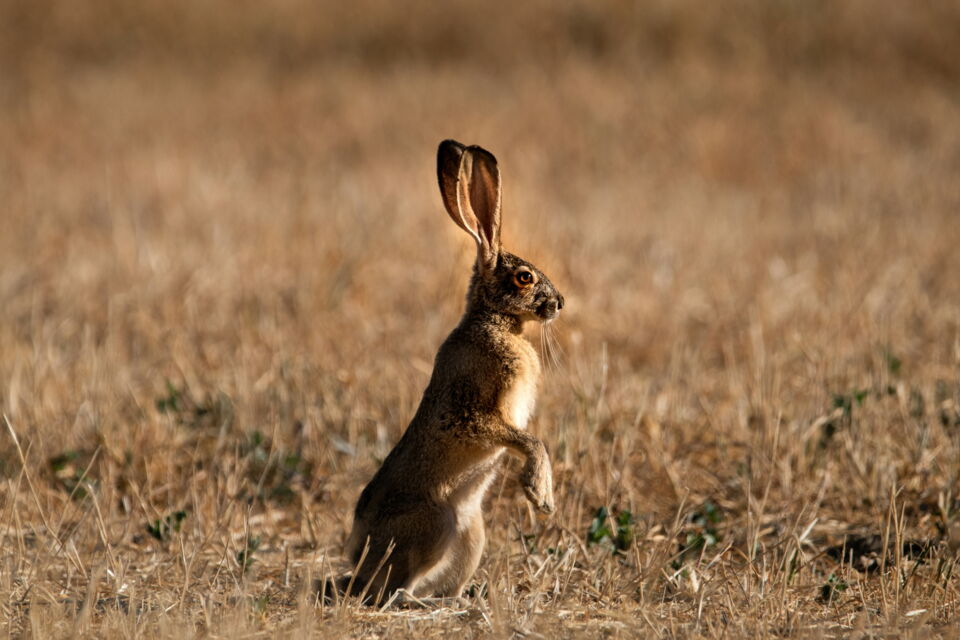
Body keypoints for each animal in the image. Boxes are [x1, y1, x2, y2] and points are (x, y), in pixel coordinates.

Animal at [336, 139, 564, 603]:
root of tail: (358, 554)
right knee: (390, 589)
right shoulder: (470, 413)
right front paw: (540, 494)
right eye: (524, 277)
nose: (560, 303)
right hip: (433, 524)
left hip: (472, 531)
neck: (494, 321)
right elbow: (530, 440)